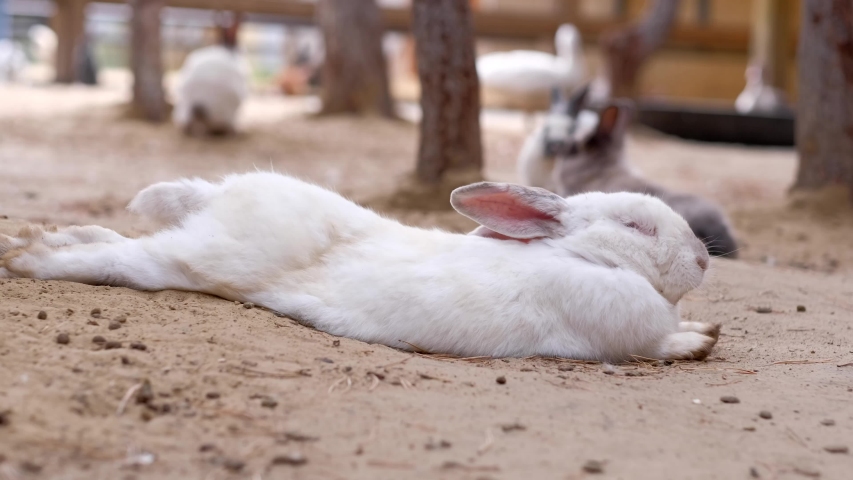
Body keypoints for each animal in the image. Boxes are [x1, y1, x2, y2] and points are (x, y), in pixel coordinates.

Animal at [0, 172, 719, 363]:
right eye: (636, 226)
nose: (703, 258)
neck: (579, 255)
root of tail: (223, 194)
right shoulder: (621, 333)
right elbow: (660, 343)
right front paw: (699, 339)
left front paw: (705, 328)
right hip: (194, 259)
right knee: (115, 257)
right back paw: (25, 255)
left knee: (103, 232)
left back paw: (35, 234)